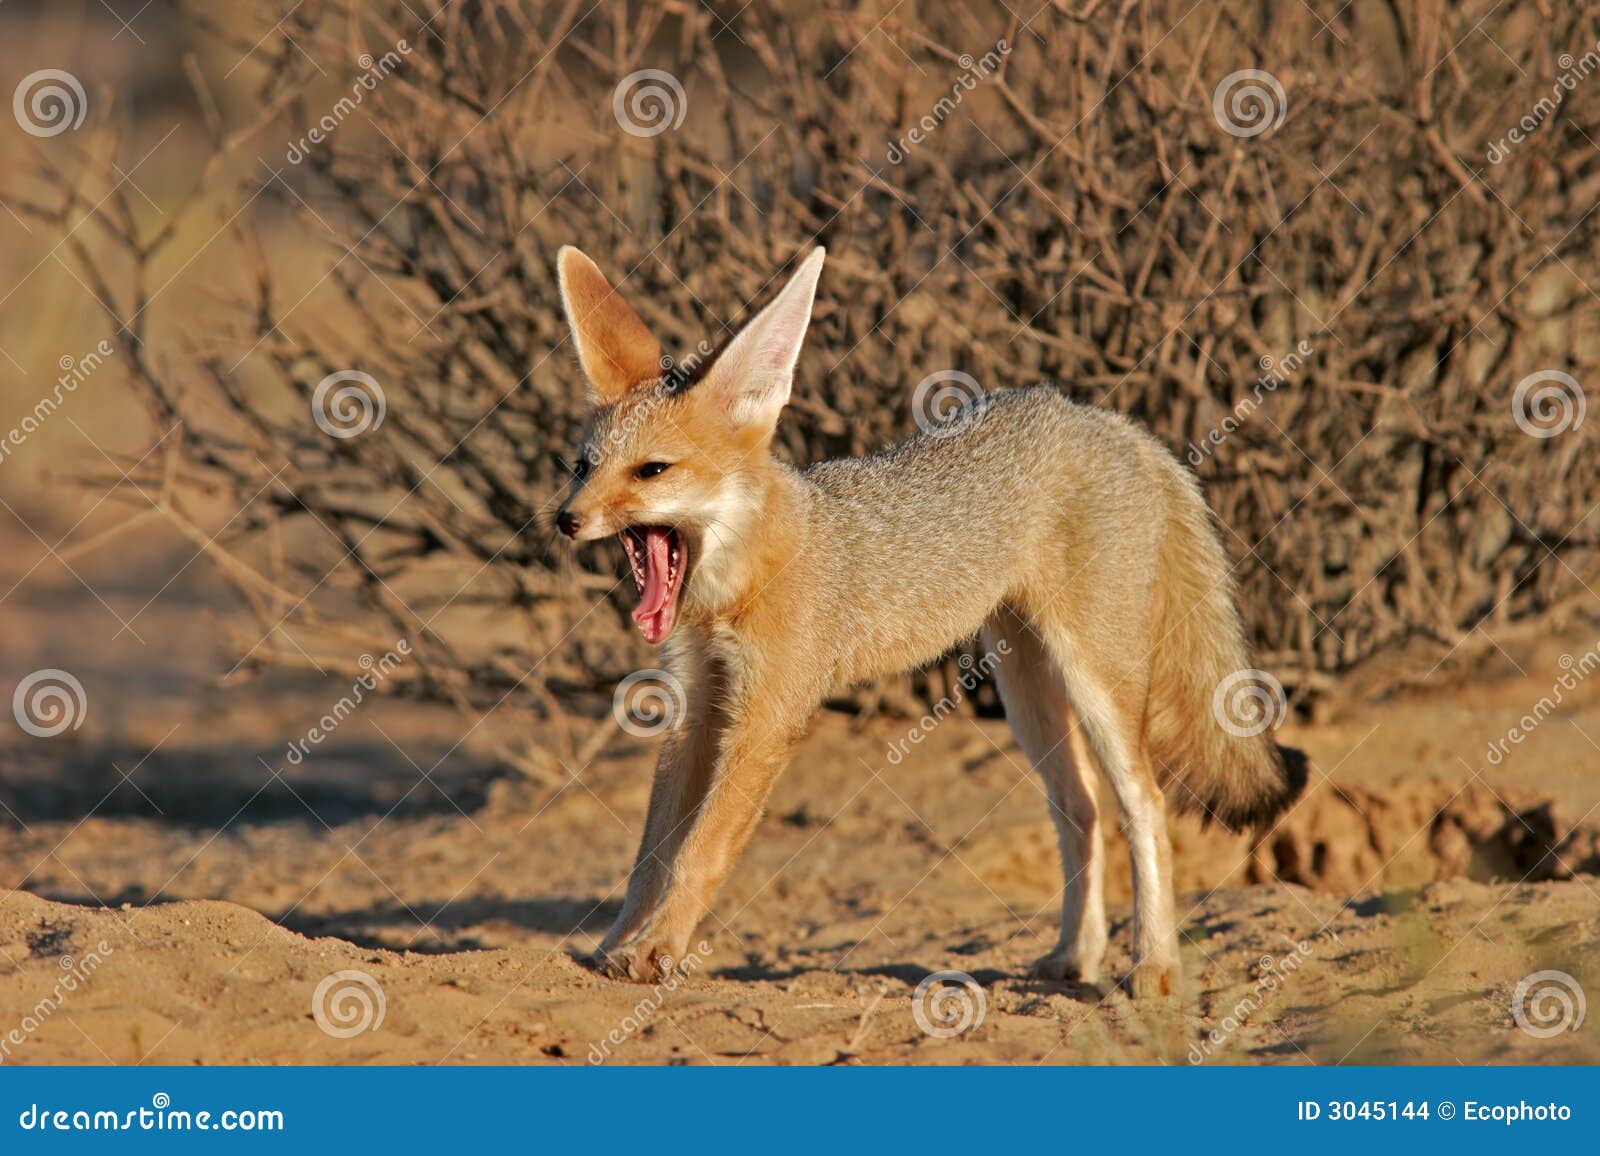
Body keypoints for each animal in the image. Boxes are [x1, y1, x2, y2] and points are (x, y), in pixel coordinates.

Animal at [553, 244, 1308, 998]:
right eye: (583, 466)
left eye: (652, 471)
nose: (565, 519)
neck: (735, 588)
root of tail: (1104, 419)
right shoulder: (695, 709)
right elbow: (651, 859)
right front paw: (619, 943)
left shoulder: (766, 718)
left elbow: (699, 851)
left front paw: (658, 950)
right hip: (1026, 692)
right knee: (1083, 808)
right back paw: (1075, 955)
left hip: (1095, 684)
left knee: (1143, 803)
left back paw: (1153, 964)